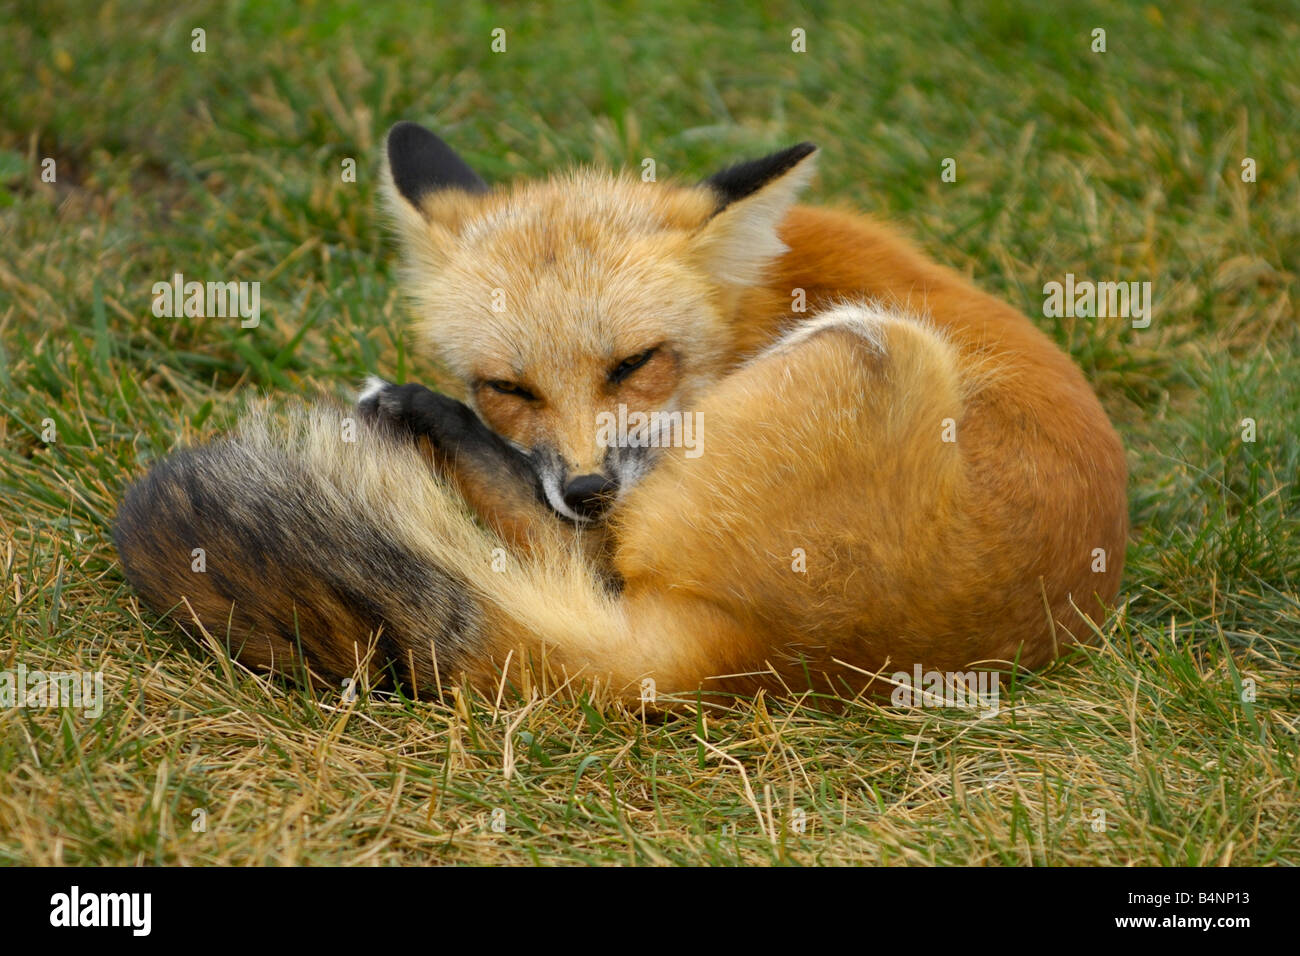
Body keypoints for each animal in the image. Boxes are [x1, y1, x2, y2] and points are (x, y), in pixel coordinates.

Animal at [113, 122, 1129, 706]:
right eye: (511, 387)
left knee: (584, 560)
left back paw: (411, 417)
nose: (587, 486)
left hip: (880, 347)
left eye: (634, 364)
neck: (752, 306)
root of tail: (782, 657)